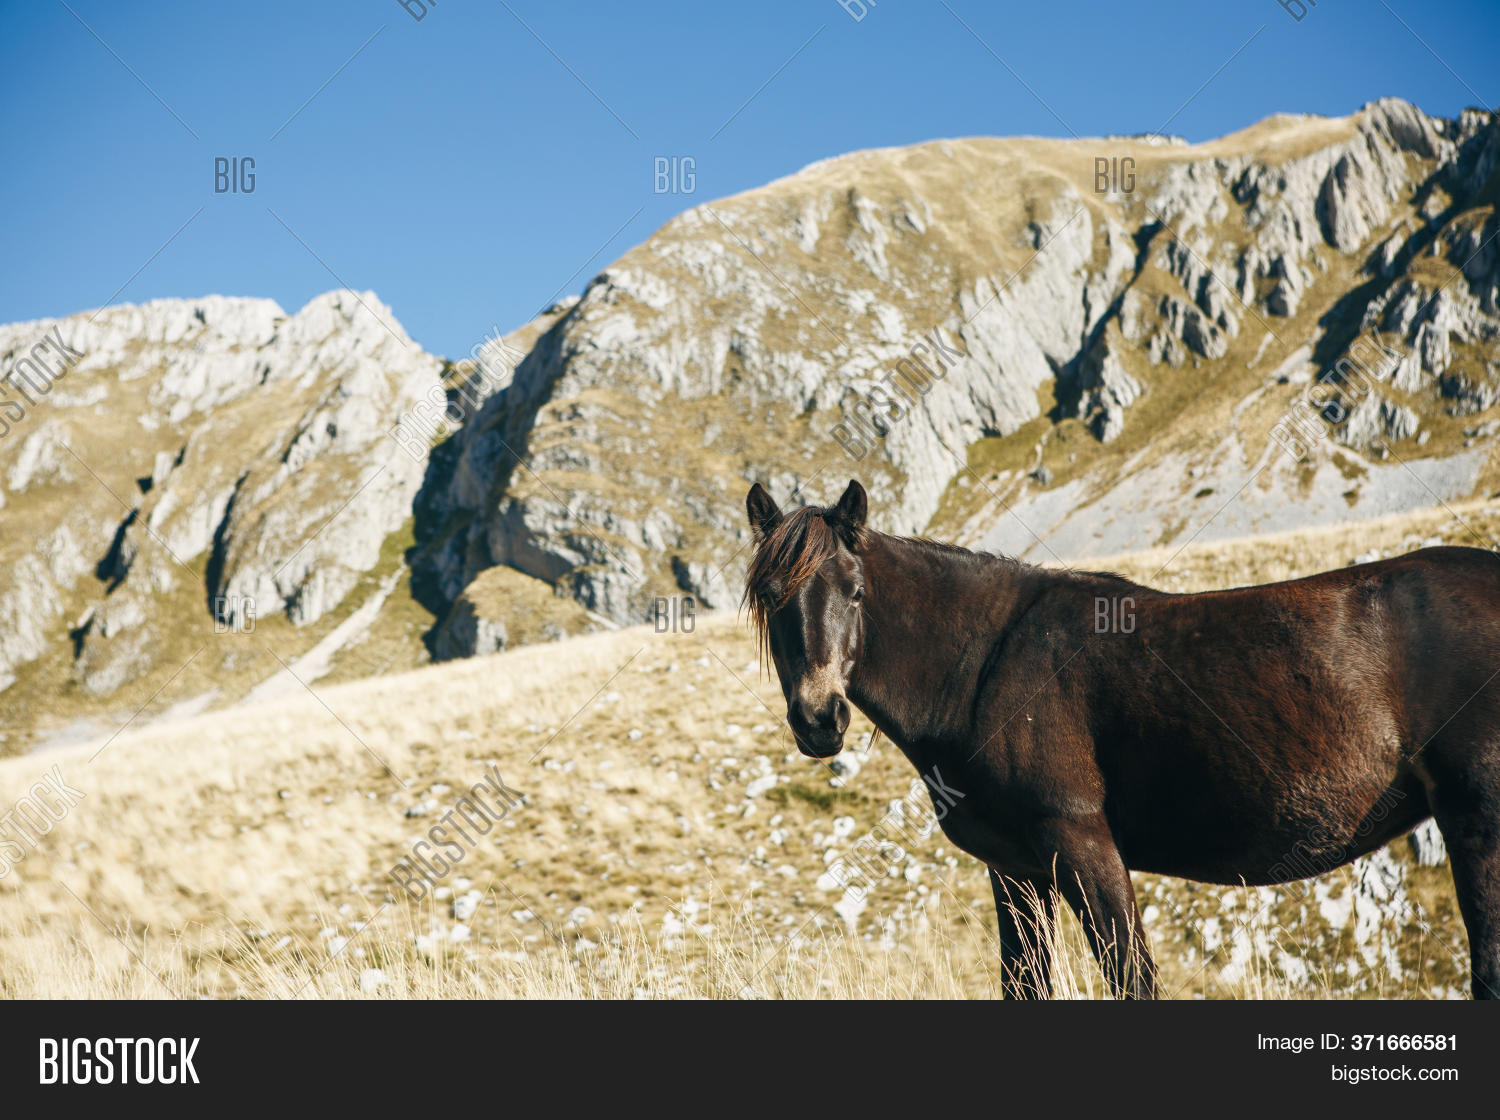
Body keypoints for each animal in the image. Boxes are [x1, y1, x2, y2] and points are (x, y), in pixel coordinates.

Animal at [742, 478, 1500, 999]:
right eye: (772, 598)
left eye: (855, 591)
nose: (819, 719)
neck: (987, 661)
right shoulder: (1015, 872)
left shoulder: (1081, 842)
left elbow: (1132, 979)